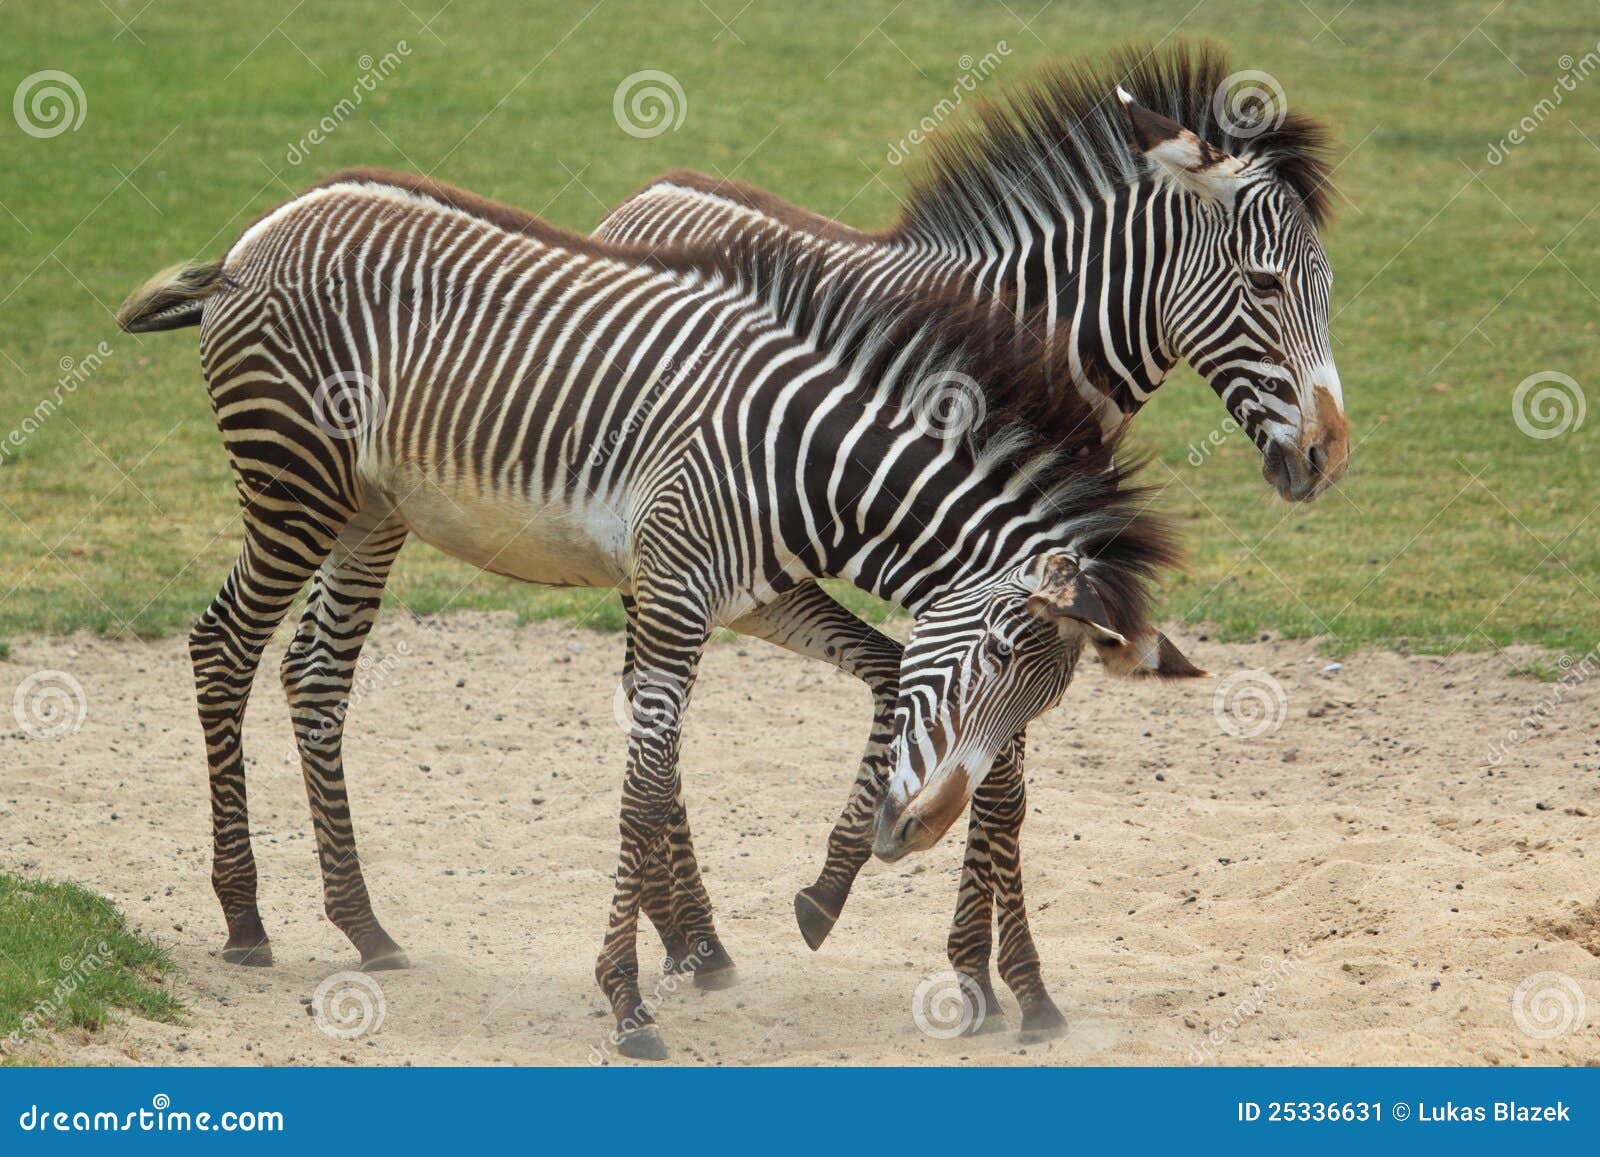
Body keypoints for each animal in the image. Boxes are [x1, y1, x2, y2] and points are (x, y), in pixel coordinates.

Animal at [117, 168, 1193, 1058]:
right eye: (998, 650)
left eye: (1041, 698)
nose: (921, 831)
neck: (807, 462)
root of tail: (258, 236)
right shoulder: (677, 590)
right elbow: (641, 788)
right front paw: (628, 997)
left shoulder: (756, 596)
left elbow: (886, 673)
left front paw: (826, 888)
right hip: (293, 484)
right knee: (223, 646)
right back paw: (246, 917)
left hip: (370, 509)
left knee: (316, 672)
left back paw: (363, 923)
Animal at [593, 40, 1347, 1018]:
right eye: (1265, 283)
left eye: (1331, 288)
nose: (1330, 454)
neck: (1040, 336)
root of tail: (654, 189)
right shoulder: (988, 559)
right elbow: (998, 776)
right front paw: (1004, 977)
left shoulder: (1041, 570)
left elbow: (996, 771)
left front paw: (985, 968)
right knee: (658, 717)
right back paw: (693, 933)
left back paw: (687, 935)